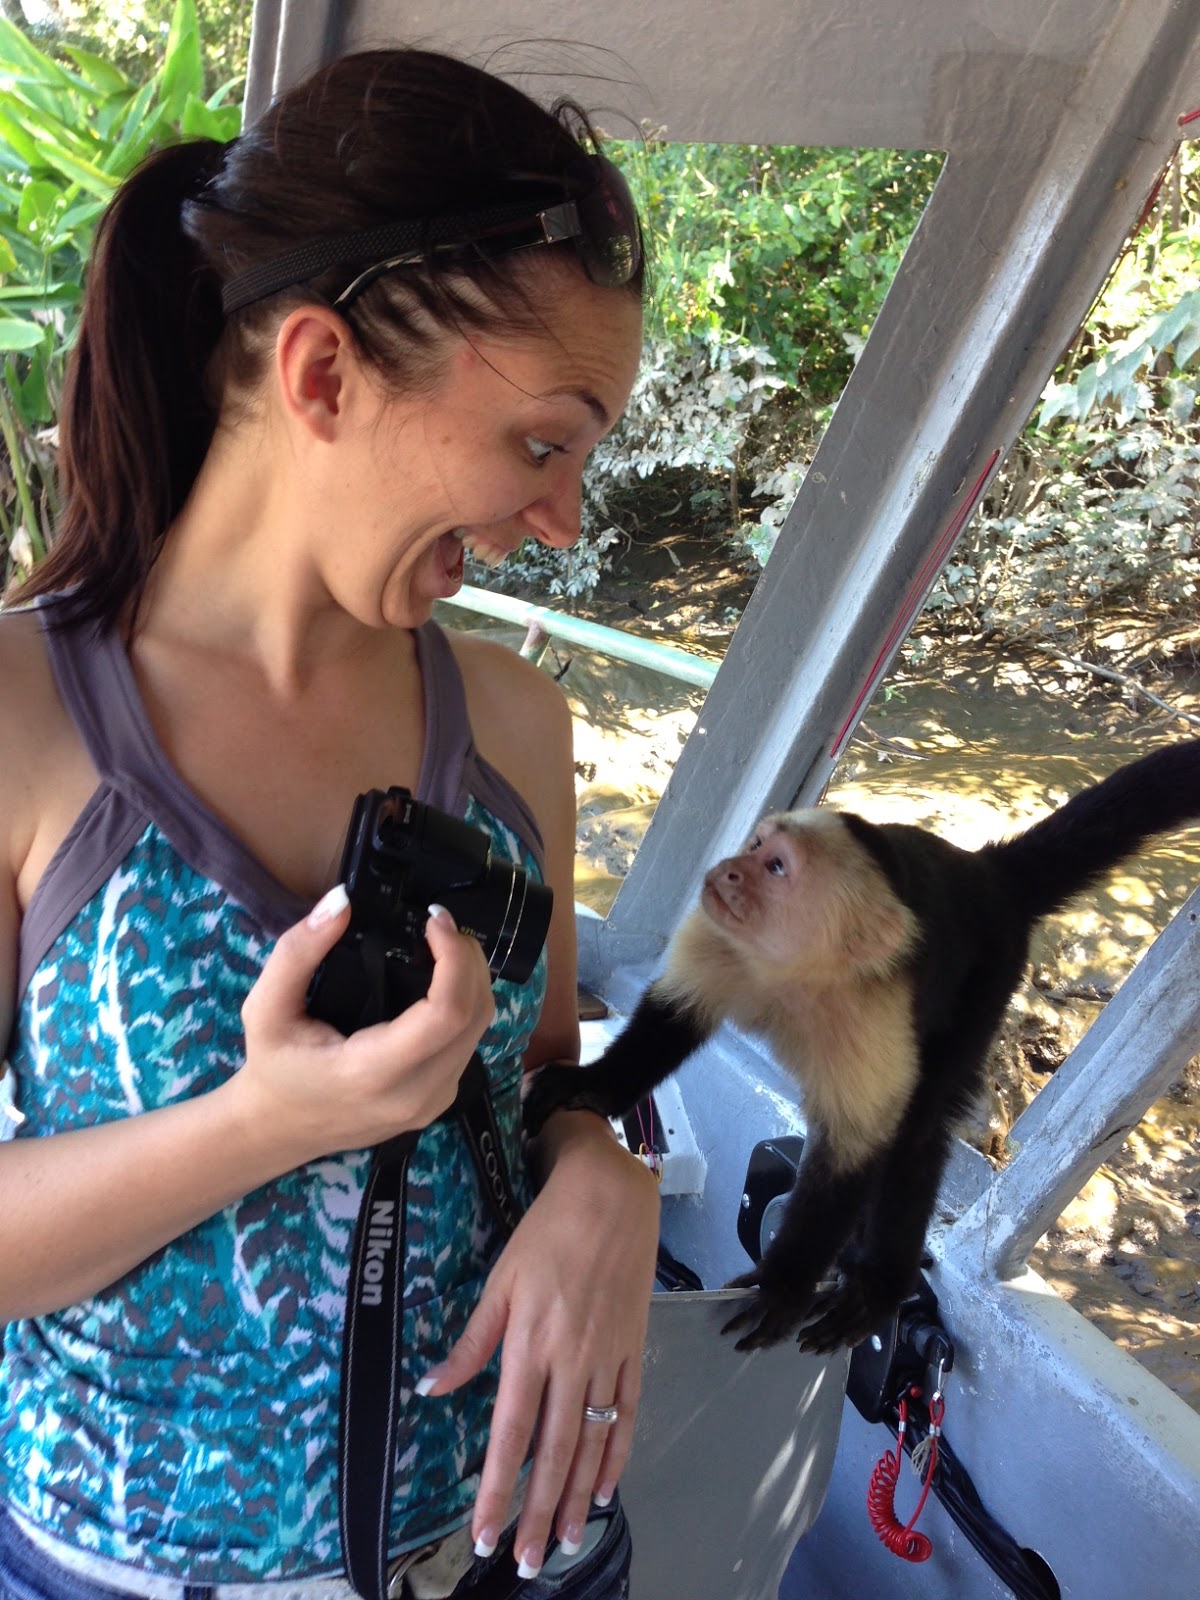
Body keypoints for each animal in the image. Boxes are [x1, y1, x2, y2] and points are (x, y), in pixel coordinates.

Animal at [523, 740, 1200, 1354]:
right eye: (755, 847)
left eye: (777, 869)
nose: (728, 868)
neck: (791, 970)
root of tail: (986, 874)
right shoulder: (716, 939)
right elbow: (669, 1024)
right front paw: (587, 1088)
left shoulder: (871, 1010)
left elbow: (859, 1146)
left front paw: (785, 1282)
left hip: (990, 973)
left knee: (919, 1127)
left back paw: (880, 1282)